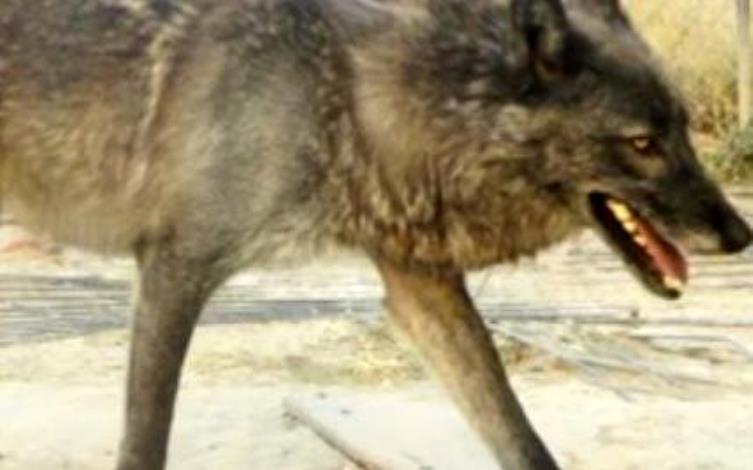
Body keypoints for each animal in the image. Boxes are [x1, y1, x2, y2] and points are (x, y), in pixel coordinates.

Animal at [0, 0, 750, 469]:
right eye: (643, 144)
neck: (345, 92)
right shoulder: (174, 270)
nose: (739, 233)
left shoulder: (421, 283)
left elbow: (518, 434)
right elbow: (144, 444)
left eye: (684, 128)